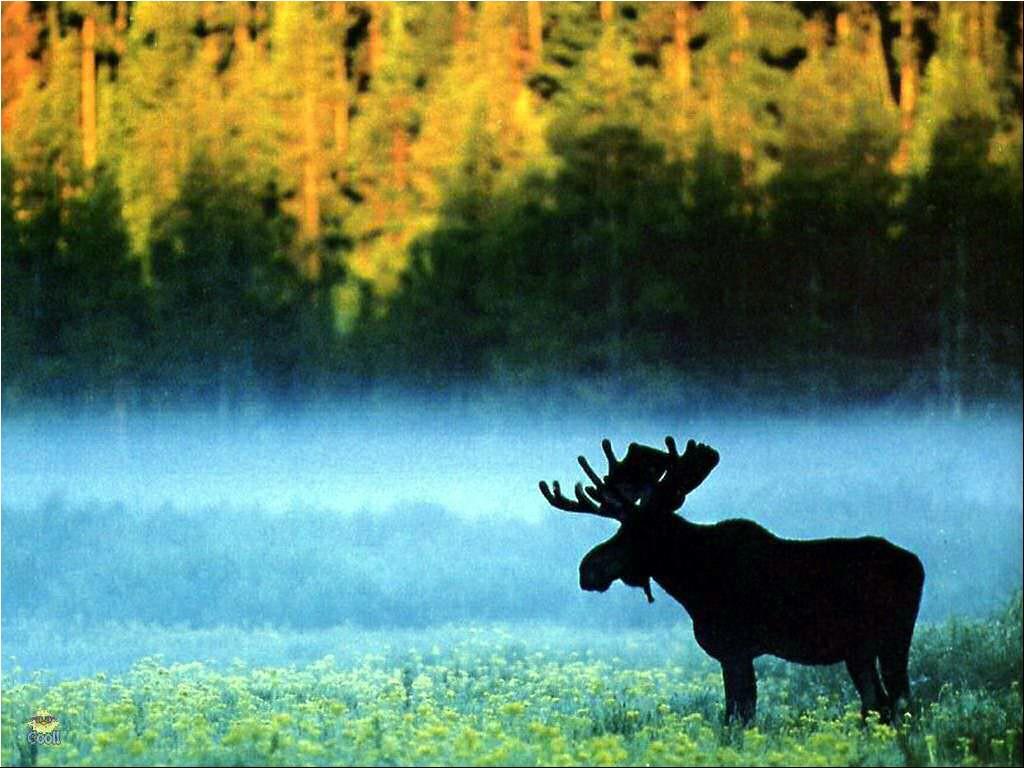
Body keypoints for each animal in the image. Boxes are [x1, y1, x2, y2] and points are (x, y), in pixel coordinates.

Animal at [540, 437, 925, 725]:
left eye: (638, 530)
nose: (587, 569)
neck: (691, 584)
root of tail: (918, 565)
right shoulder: (734, 653)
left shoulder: (735, 648)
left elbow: (738, 716)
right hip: (859, 650)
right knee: (878, 704)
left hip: (893, 636)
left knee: (901, 700)